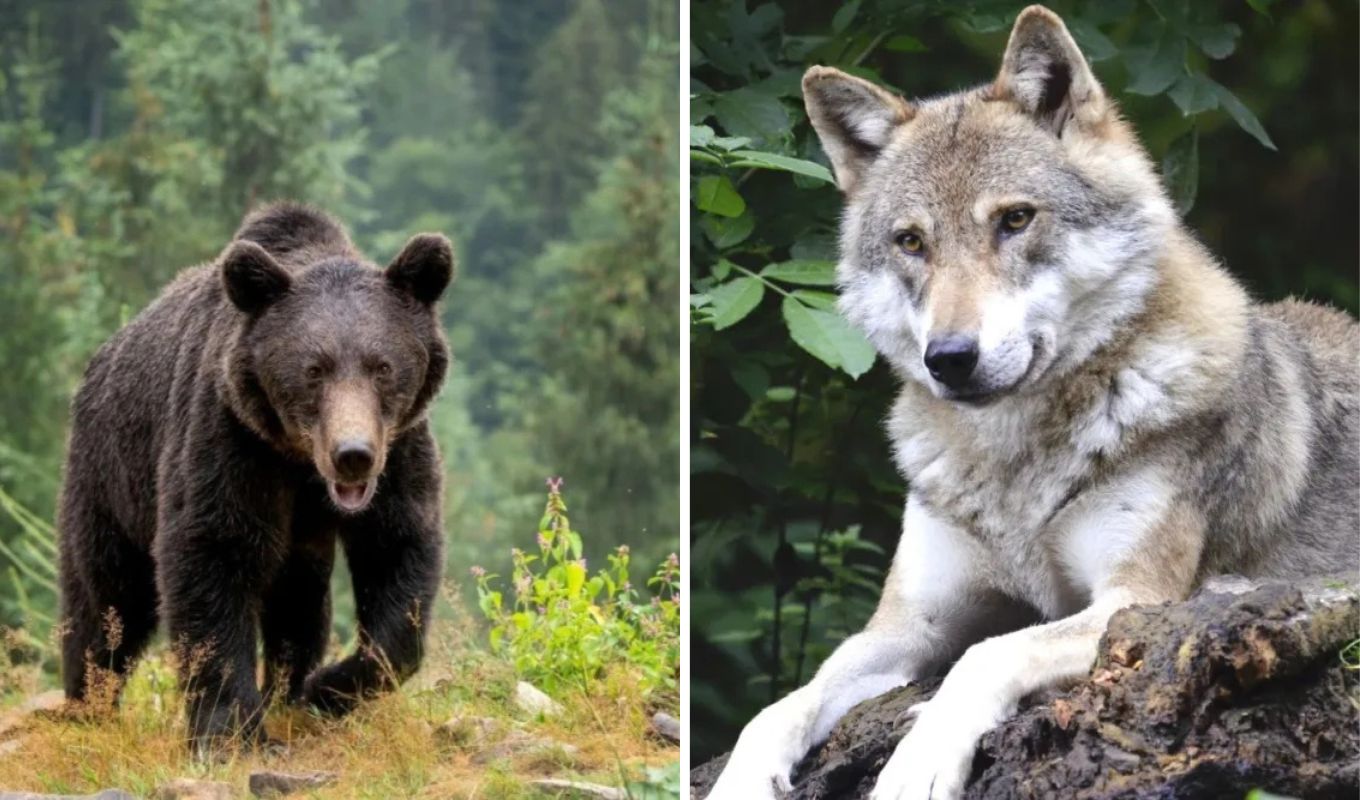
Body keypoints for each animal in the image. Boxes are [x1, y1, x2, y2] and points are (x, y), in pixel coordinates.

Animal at [56, 202, 454, 753]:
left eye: (382, 366)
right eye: (314, 369)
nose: (353, 455)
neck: (300, 462)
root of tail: (98, 361)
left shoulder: (398, 455)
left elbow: (397, 559)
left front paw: (324, 689)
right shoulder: (233, 442)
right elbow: (212, 558)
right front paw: (229, 730)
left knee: (299, 607)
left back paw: (286, 690)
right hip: (109, 473)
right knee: (106, 599)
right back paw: (88, 705)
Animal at [707, 6, 1358, 799]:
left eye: (1015, 220)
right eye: (911, 242)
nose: (950, 359)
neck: (1015, 465)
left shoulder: (1136, 602)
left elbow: (986, 653)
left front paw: (919, 761)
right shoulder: (908, 626)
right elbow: (781, 705)